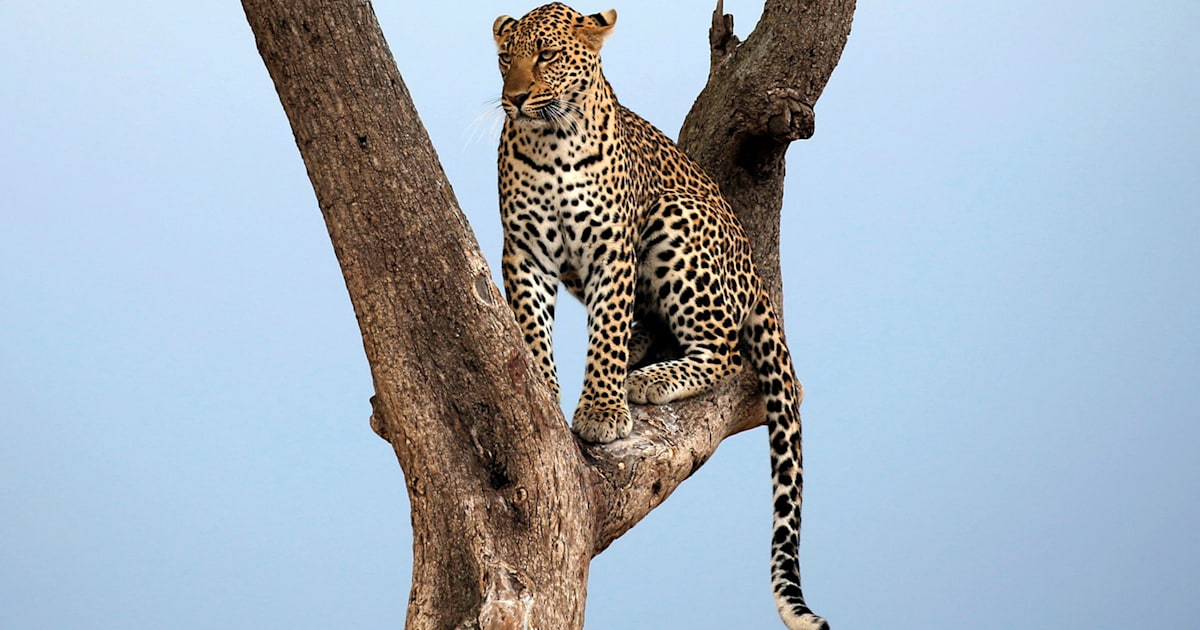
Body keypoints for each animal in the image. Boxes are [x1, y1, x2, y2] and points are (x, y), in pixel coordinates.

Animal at [492, 4, 826, 629]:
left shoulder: (612, 248)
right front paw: (544, 389)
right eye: (505, 58)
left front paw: (601, 411)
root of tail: (755, 267)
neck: (550, 140)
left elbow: (604, 334)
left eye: (547, 55)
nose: (515, 98)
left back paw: (648, 379)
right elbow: (530, 328)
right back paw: (641, 354)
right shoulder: (523, 252)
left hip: (676, 219)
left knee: (726, 352)